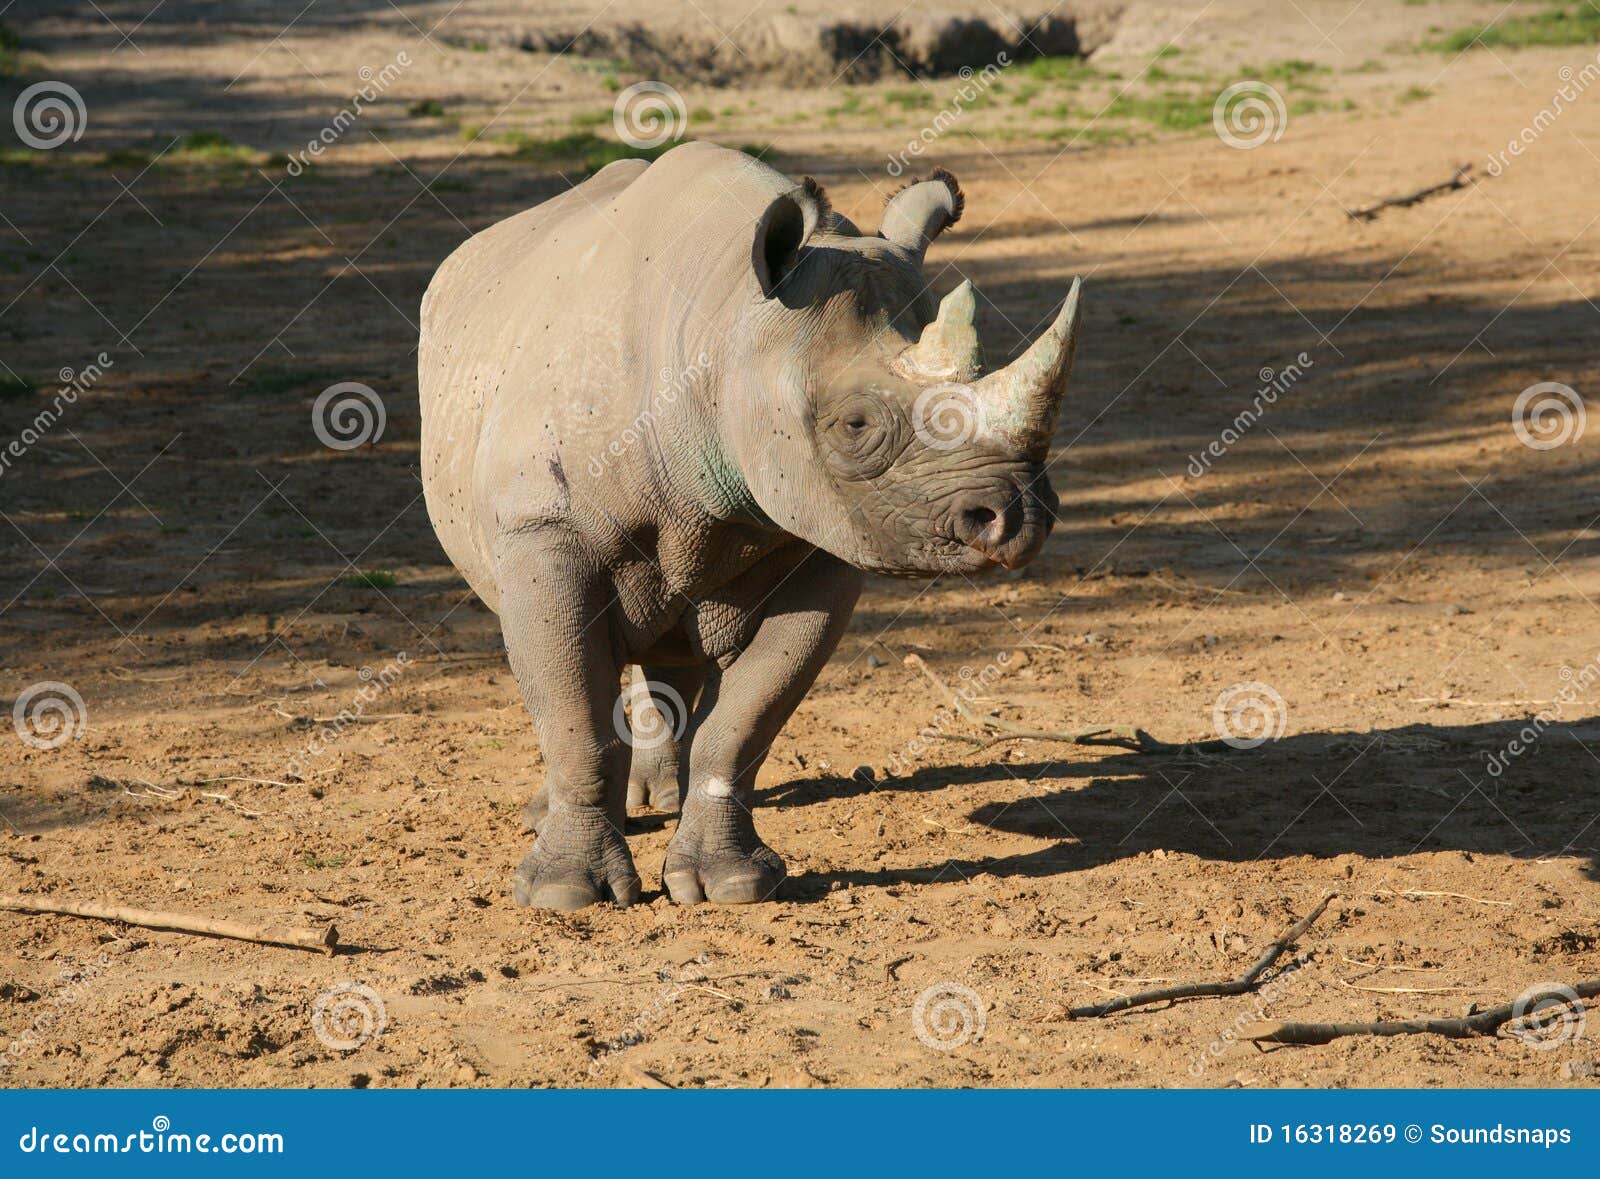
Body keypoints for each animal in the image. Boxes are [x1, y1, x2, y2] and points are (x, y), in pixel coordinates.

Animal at [418, 142, 1081, 910]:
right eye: (855, 425)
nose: (1018, 516)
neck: (724, 327)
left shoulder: (819, 541)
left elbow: (744, 721)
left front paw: (730, 886)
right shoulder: (544, 531)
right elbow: (573, 714)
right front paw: (564, 895)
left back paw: (661, 799)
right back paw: (567, 813)